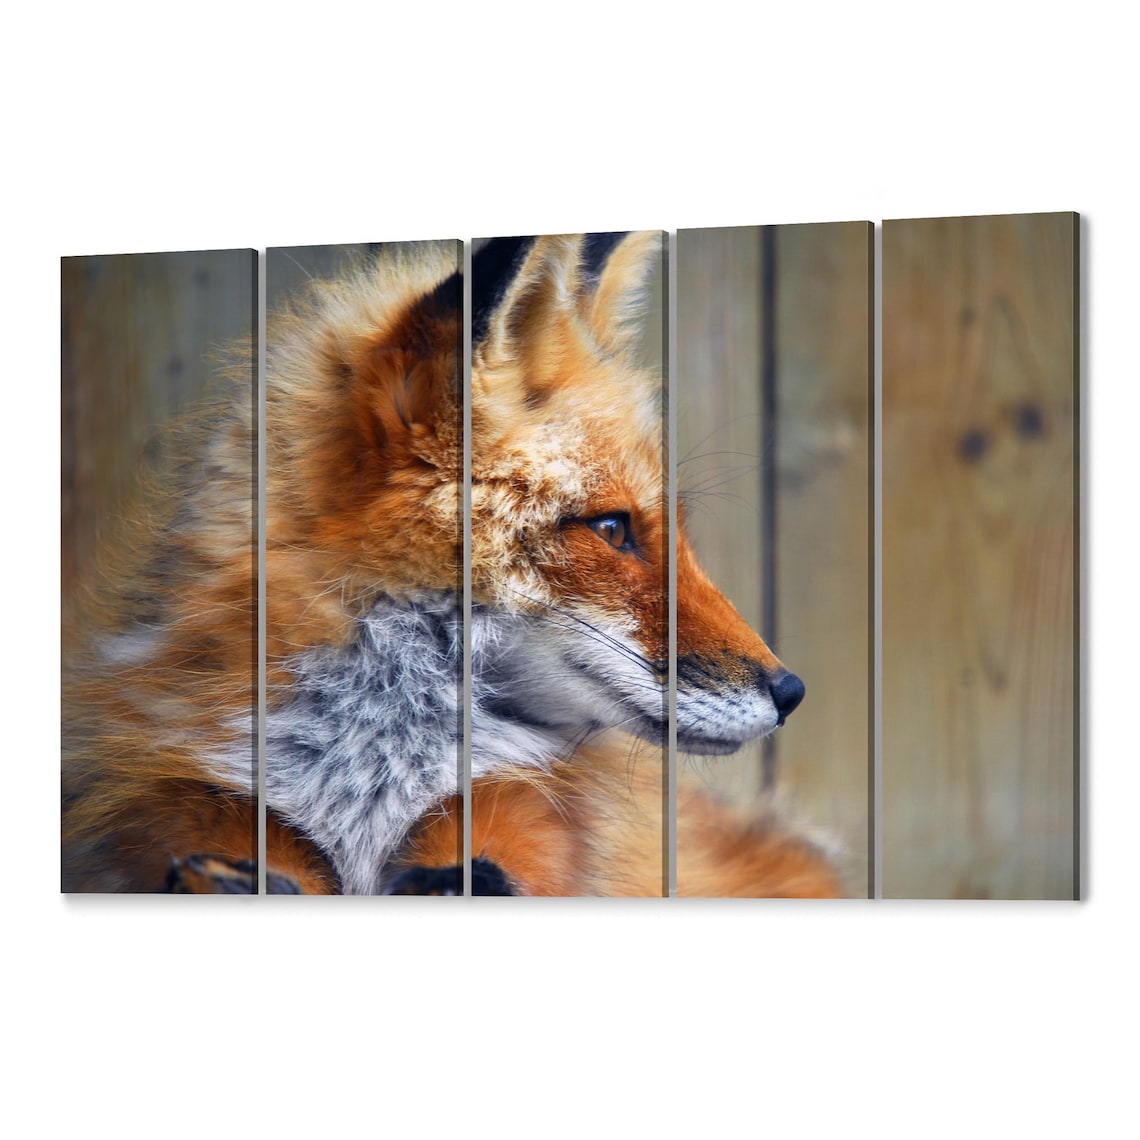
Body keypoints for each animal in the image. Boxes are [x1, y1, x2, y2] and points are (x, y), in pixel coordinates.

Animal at [61, 233, 842, 897]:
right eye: (612, 528)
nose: (792, 691)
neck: (368, 776)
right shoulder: (197, 803)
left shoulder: (518, 808)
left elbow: (488, 867)